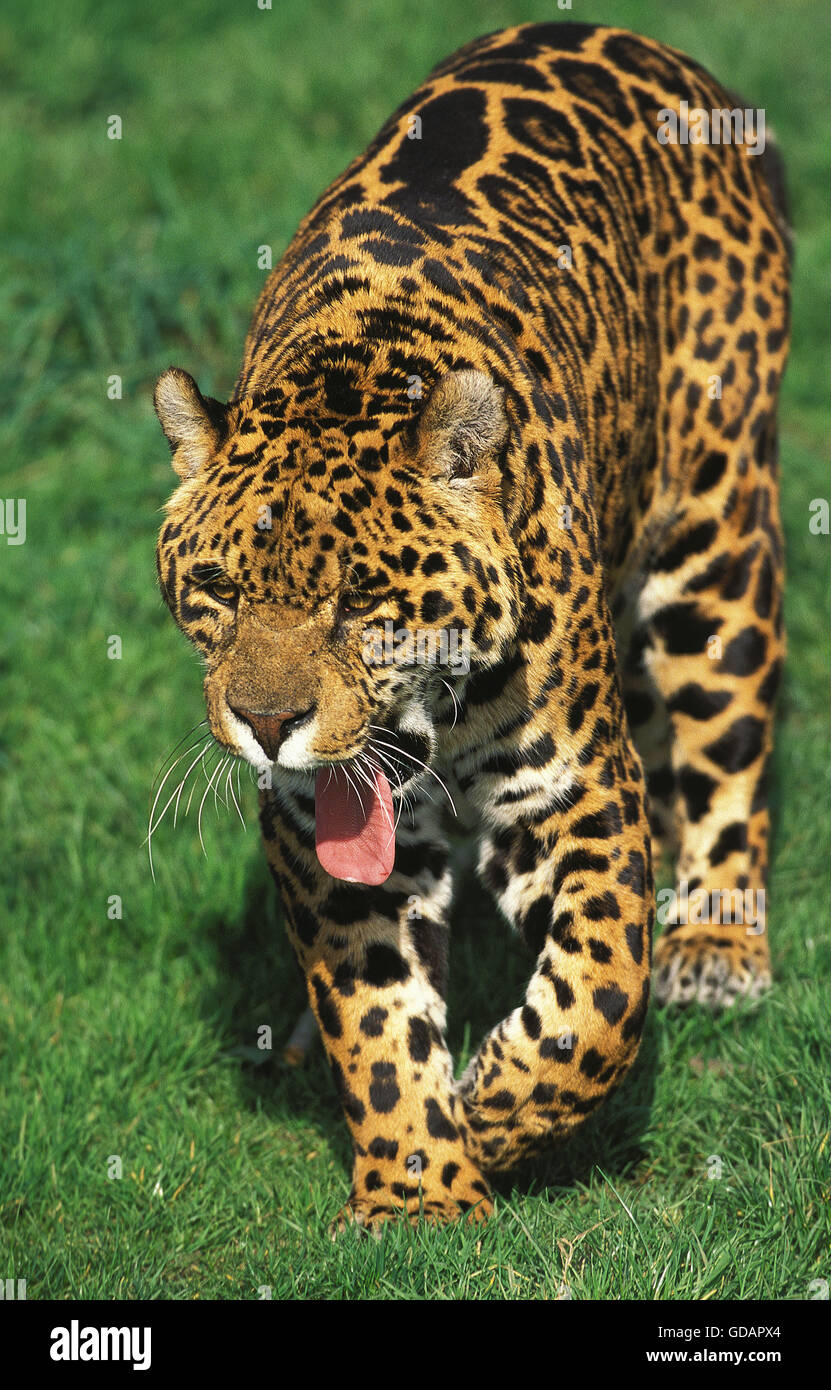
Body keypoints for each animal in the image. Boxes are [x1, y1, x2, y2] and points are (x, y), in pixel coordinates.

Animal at [153, 22, 790, 1230]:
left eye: (362, 600)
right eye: (215, 586)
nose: (266, 724)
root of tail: (646, 44)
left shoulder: (572, 786)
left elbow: (597, 993)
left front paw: (490, 1112)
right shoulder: (311, 817)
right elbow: (374, 1011)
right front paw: (417, 1183)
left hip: (715, 528)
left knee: (724, 743)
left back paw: (715, 941)